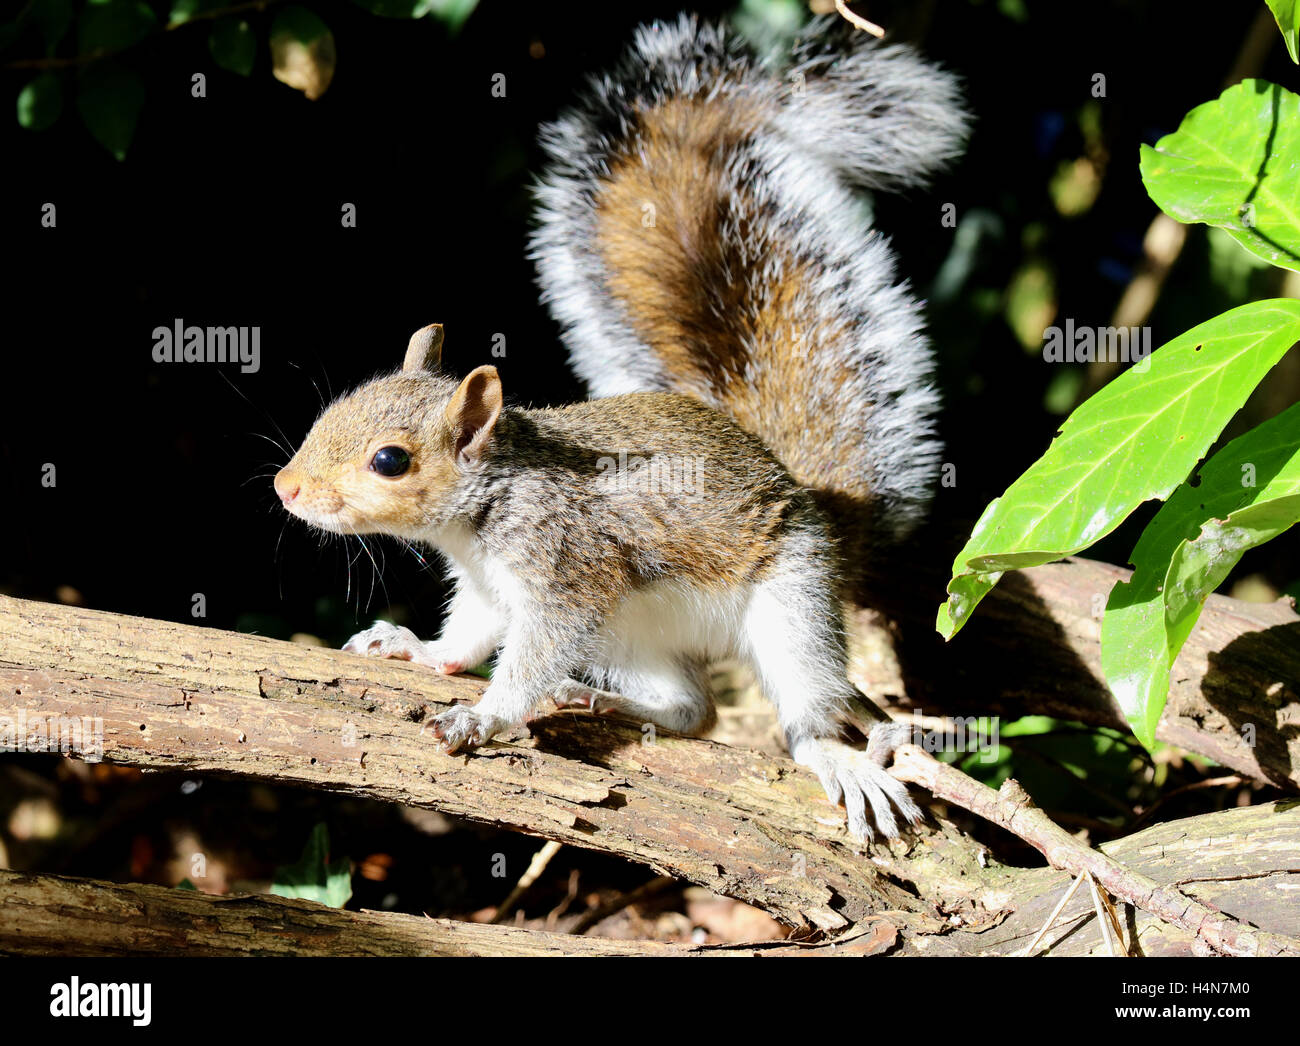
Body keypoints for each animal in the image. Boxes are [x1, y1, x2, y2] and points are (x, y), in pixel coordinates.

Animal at [273, 15, 968, 841]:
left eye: (389, 461)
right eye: (335, 409)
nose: (285, 488)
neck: (484, 511)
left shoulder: (567, 574)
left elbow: (530, 656)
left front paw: (484, 716)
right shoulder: (491, 589)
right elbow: (471, 634)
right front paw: (421, 650)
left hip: (788, 600)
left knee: (803, 707)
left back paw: (835, 756)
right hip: (633, 631)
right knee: (696, 710)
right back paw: (607, 699)